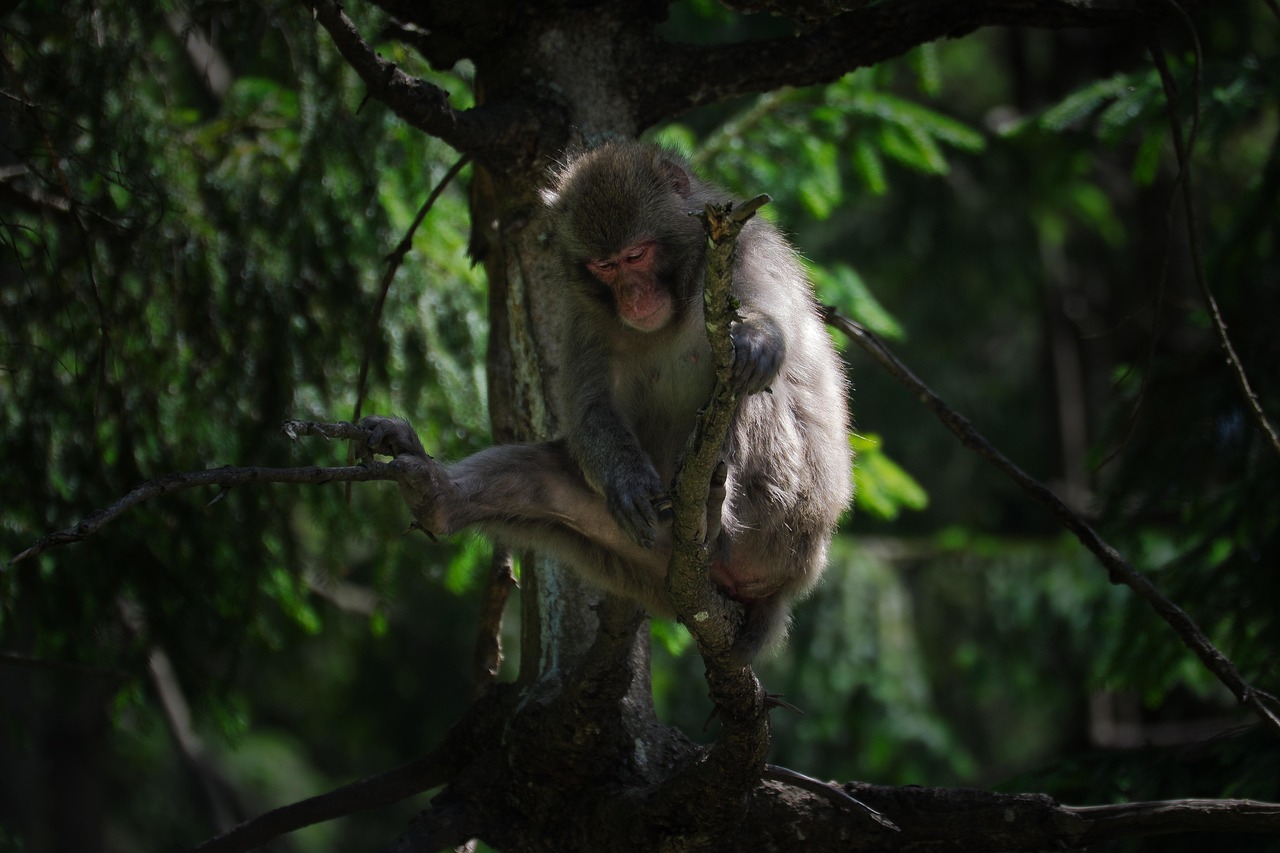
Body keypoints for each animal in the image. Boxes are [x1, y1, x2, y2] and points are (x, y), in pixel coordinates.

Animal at [363, 141, 851, 660]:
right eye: (605, 267)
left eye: (635, 255)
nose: (633, 298)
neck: (683, 290)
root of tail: (788, 585)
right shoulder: (582, 310)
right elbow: (590, 408)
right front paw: (626, 480)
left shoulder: (748, 252)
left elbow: (767, 350)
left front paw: (758, 341)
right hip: (641, 562)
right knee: (543, 481)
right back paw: (436, 496)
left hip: (783, 529)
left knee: (747, 393)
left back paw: (711, 513)